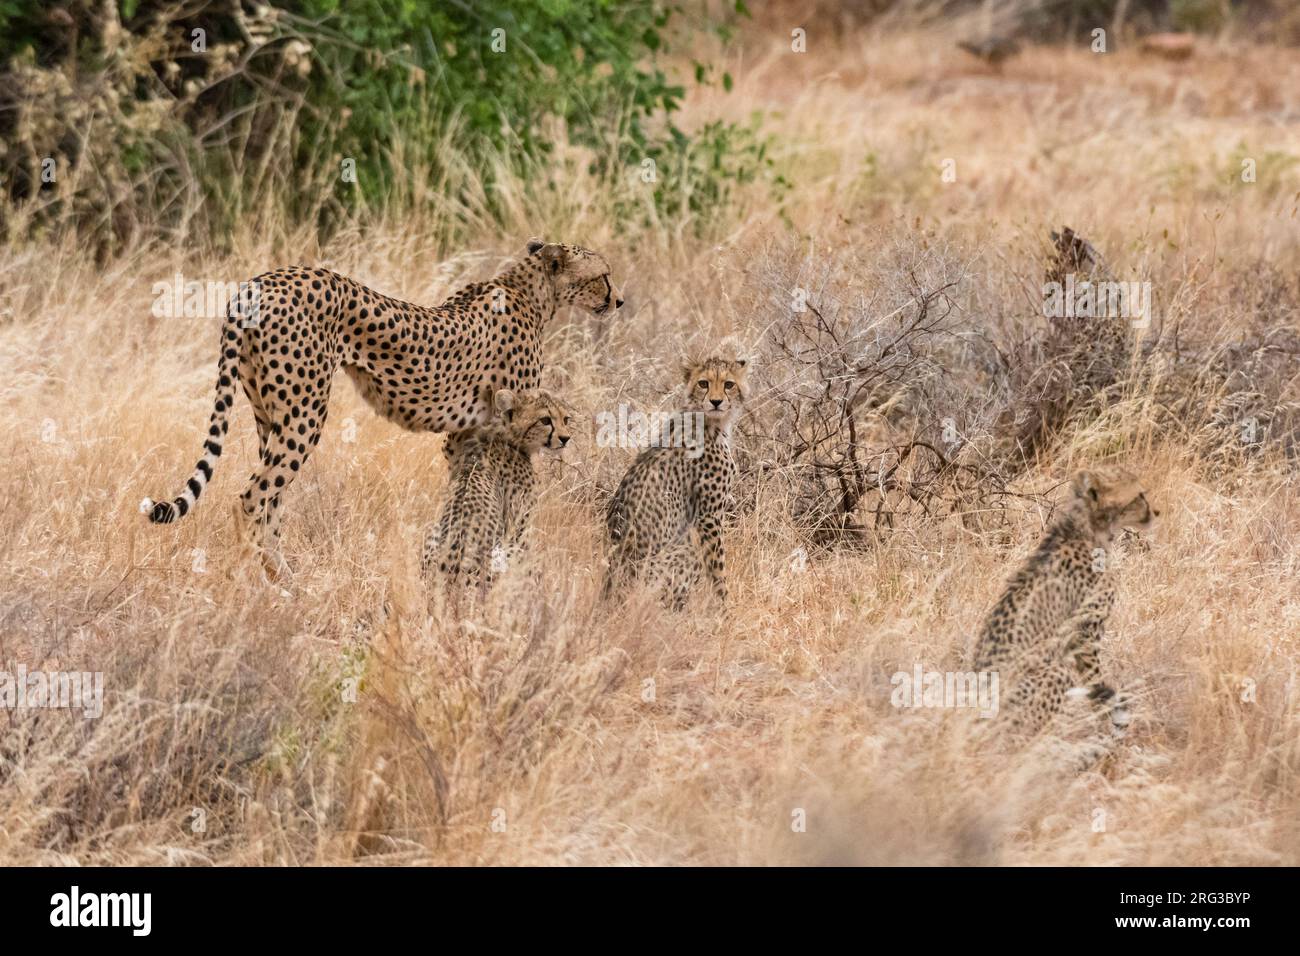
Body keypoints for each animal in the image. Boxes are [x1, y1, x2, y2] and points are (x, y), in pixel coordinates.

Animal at [139, 240, 621, 574]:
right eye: (604, 274)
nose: (619, 301)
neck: (531, 292)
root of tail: (258, 282)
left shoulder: (464, 436)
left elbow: (463, 495)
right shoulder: (505, 432)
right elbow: (514, 515)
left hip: (268, 413)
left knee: (270, 501)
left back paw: (285, 579)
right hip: (304, 414)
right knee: (249, 498)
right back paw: (256, 584)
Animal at [602, 357, 748, 609]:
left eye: (729, 384)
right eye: (703, 383)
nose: (716, 402)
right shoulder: (709, 517)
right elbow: (718, 569)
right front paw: (724, 608)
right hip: (681, 555)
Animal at [973, 466, 1158, 738]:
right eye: (1139, 495)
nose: (1156, 511)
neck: (1087, 530)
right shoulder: (1085, 633)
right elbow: (1096, 680)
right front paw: (1106, 720)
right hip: (1054, 673)